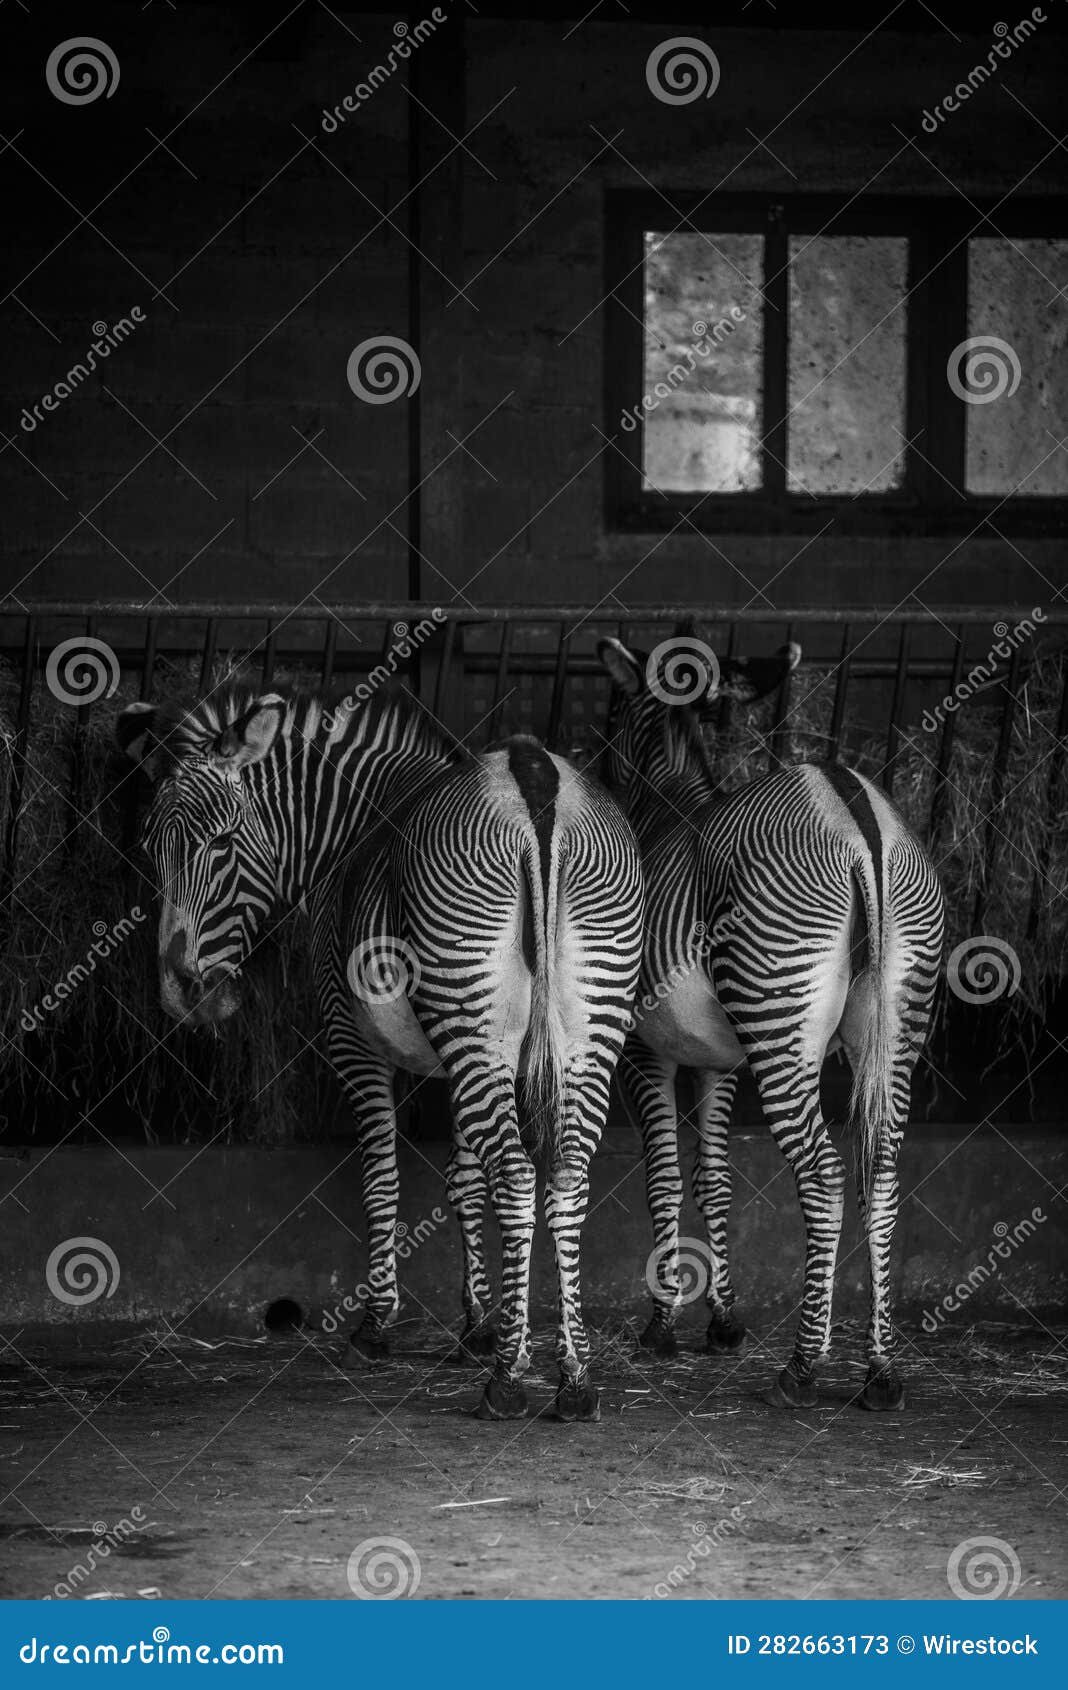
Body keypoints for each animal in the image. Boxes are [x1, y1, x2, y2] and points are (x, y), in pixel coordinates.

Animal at [117, 685, 643, 1421]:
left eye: (221, 843)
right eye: (148, 849)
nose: (182, 995)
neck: (346, 828)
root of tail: (534, 777)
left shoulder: (353, 1039)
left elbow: (384, 1176)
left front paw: (378, 1326)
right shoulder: (461, 1053)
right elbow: (462, 1179)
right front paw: (480, 1325)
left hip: (480, 1010)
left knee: (516, 1173)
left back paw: (509, 1382)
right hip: (581, 1024)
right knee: (564, 1174)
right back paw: (574, 1380)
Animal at [594, 635, 945, 1411]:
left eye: (609, 721)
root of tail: (857, 817)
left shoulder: (645, 1054)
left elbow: (665, 1176)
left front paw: (663, 1323)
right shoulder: (721, 1062)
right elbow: (715, 1180)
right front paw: (723, 1319)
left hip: (778, 1022)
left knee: (823, 1175)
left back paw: (804, 1366)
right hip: (896, 1028)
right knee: (879, 1174)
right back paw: (880, 1369)